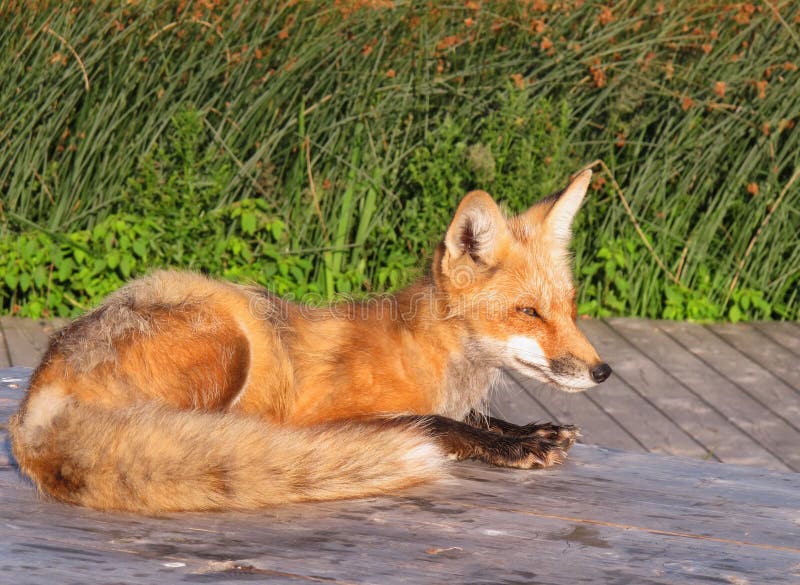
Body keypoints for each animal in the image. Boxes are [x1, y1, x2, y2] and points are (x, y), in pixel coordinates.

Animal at [9, 168, 612, 513]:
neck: (428, 357)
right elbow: (439, 423)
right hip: (230, 342)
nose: (602, 371)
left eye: (569, 307)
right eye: (528, 312)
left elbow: (478, 419)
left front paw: (531, 431)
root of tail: (33, 404)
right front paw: (513, 446)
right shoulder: (337, 411)